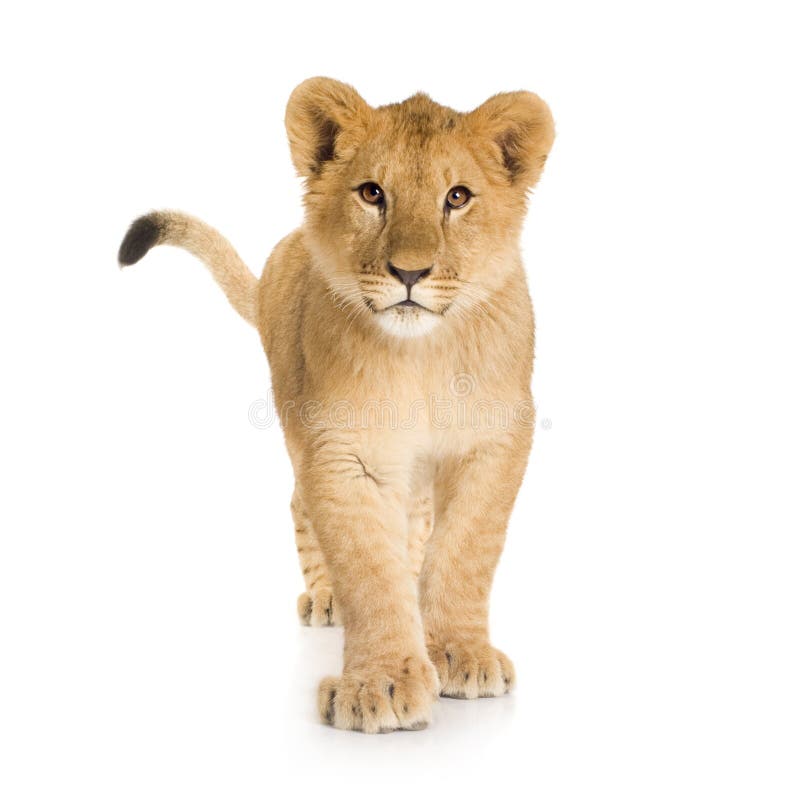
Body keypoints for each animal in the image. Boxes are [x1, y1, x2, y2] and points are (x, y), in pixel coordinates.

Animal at [118, 77, 554, 733]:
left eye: (457, 197)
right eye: (373, 193)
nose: (409, 272)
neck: (421, 356)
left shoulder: (494, 441)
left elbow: (465, 551)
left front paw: (461, 653)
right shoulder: (344, 451)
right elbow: (366, 566)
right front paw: (381, 684)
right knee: (302, 504)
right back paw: (329, 598)